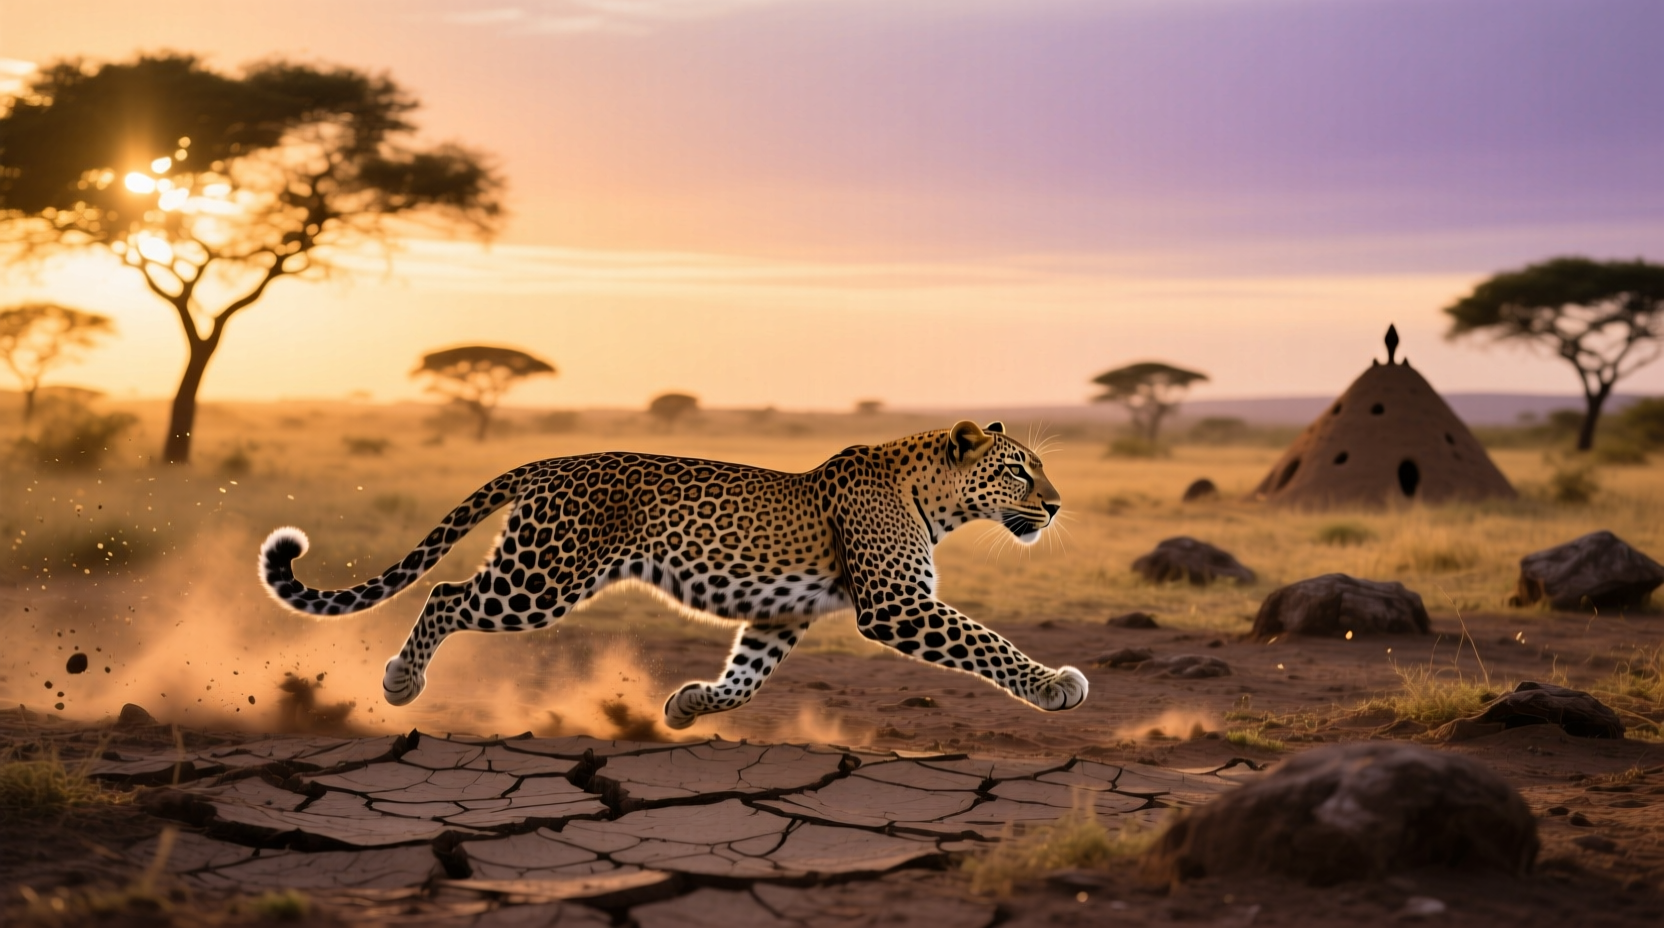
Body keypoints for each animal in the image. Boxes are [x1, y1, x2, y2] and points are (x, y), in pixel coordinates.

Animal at [257, 420, 1087, 729]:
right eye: (1019, 471)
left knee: (447, 592)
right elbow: (986, 642)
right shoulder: (896, 605)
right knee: (445, 593)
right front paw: (1055, 687)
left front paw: (690, 705)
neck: (935, 498)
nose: (1055, 506)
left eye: (1040, 469)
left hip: (535, 569)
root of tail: (551, 461)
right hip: (540, 577)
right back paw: (402, 682)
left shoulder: (781, 613)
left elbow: (747, 675)